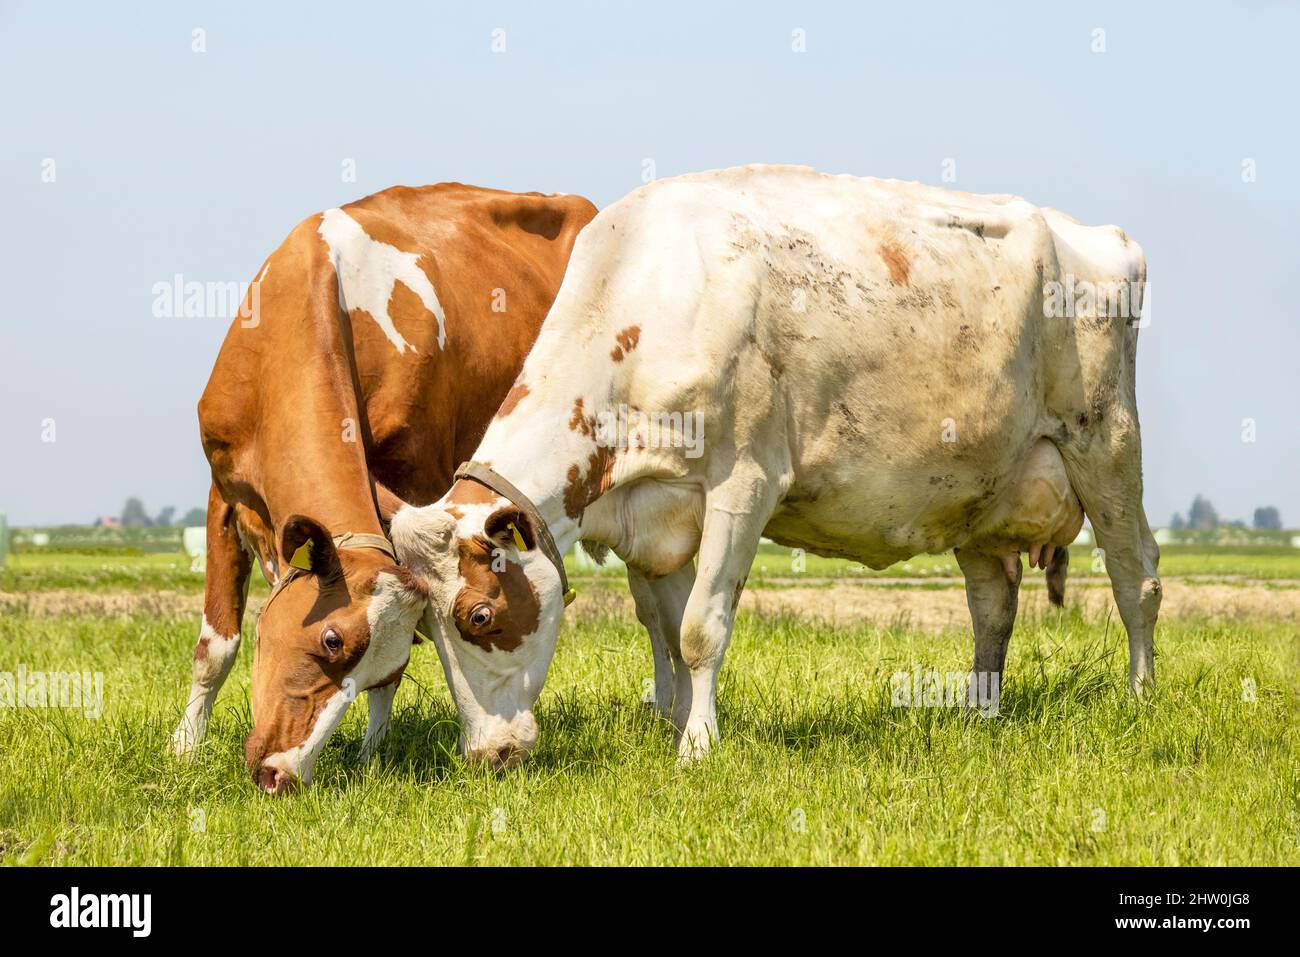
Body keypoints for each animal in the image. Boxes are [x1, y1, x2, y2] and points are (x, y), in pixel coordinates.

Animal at [169, 183, 598, 793]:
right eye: (332, 640)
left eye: (380, 662)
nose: (282, 775)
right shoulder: (223, 490)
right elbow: (216, 647)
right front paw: (184, 749)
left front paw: (373, 756)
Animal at [388, 164, 1160, 764]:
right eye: (424, 631)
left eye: (481, 614)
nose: (487, 756)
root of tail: (1101, 237)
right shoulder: (660, 513)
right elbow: (670, 628)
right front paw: (678, 723)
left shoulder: (745, 483)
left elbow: (701, 629)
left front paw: (697, 748)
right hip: (977, 486)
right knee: (992, 602)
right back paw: (980, 711)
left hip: (1107, 444)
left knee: (1137, 578)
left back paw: (1140, 696)